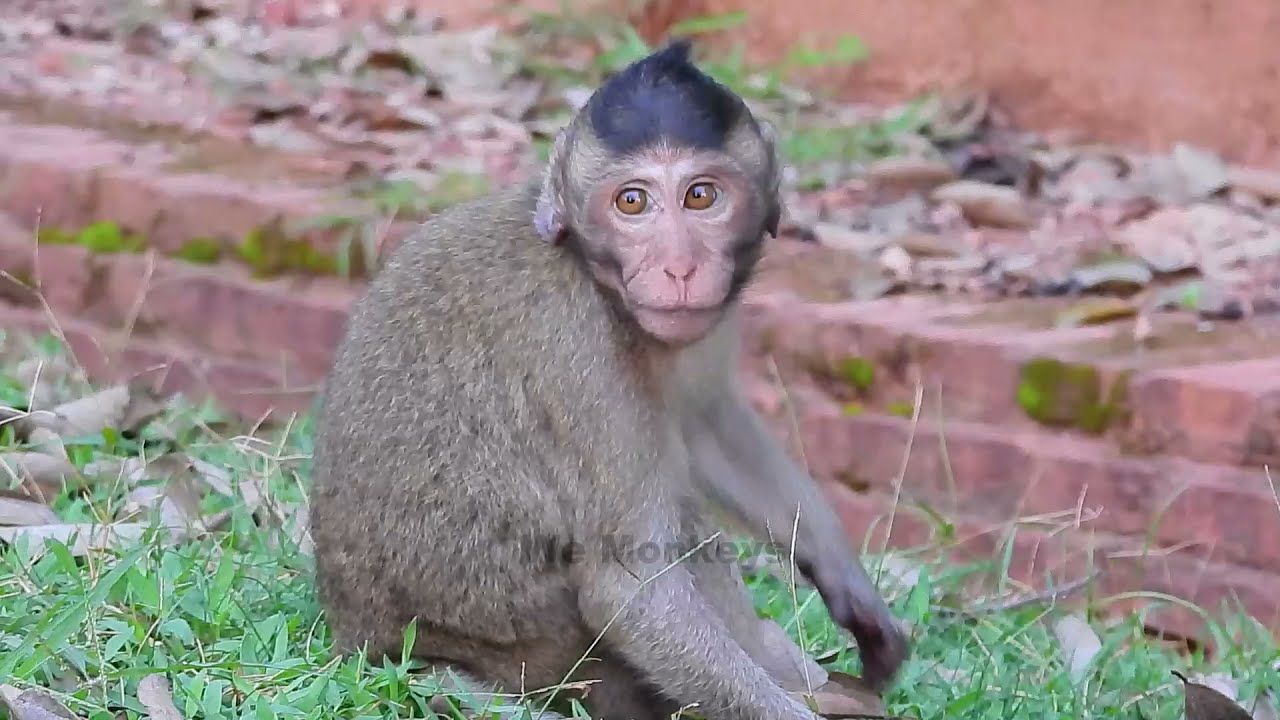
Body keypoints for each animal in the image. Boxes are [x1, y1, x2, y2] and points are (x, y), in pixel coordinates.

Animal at [307, 40, 908, 720]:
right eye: (632, 203)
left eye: (701, 196)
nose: (678, 267)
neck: (591, 273)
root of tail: (362, 643)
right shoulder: (577, 349)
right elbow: (630, 585)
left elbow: (705, 423)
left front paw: (844, 577)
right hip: (533, 648)